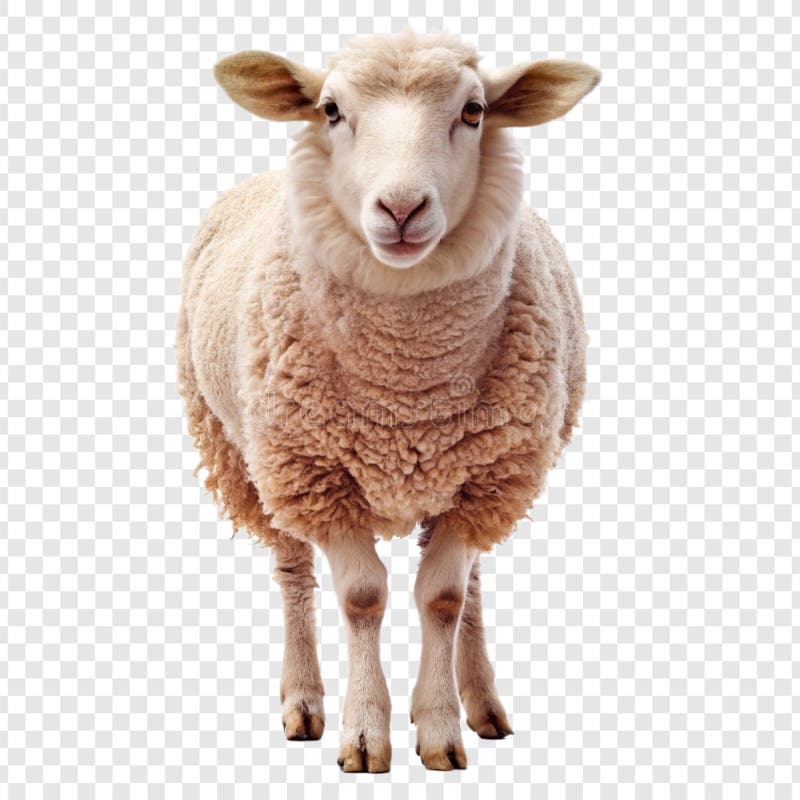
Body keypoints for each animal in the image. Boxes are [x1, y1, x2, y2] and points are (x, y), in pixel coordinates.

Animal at [176, 30, 599, 773]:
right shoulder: (317, 473)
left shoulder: (487, 478)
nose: (401, 210)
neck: (406, 387)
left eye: (474, 111)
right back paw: (303, 700)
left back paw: (482, 702)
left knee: (472, 586)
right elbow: (362, 596)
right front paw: (366, 732)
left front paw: (439, 729)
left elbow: (443, 597)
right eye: (331, 110)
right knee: (292, 571)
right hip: (246, 455)